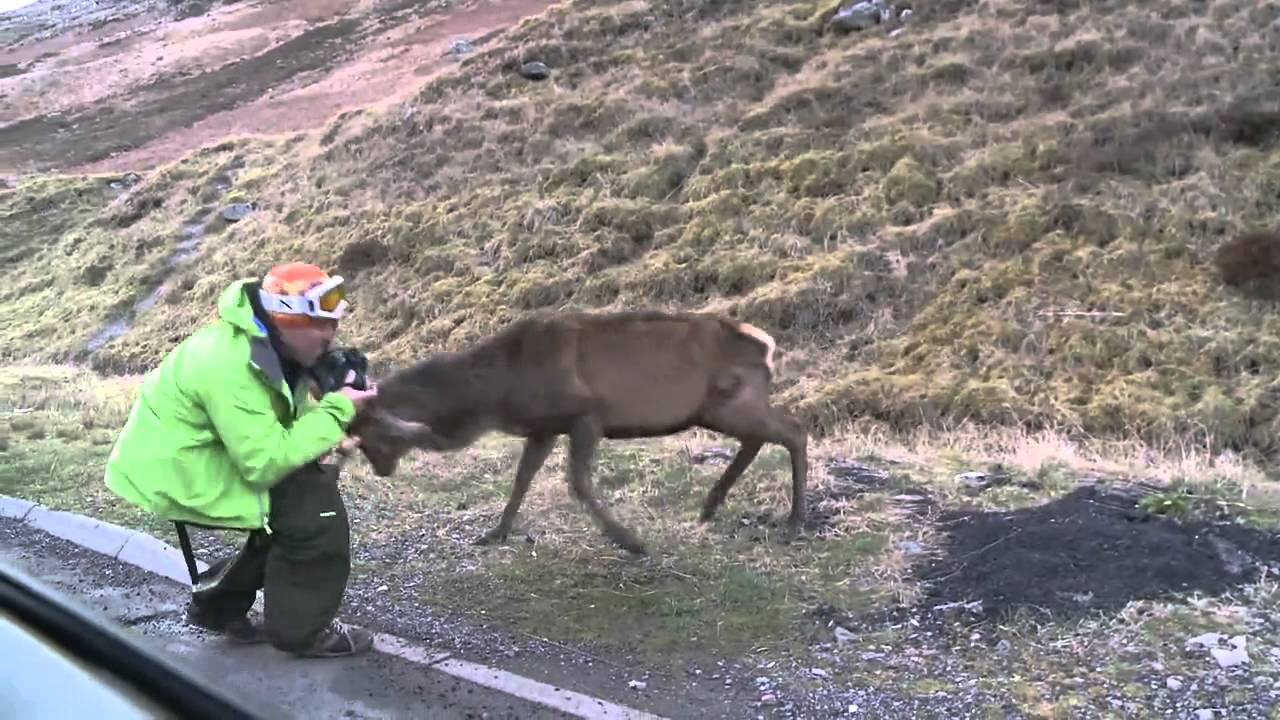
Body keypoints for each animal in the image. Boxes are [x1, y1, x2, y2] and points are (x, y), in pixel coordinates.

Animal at [346, 309, 808, 556]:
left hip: (731, 402)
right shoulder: (544, 427)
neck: (493, 396)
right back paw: (712, 505)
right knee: (760, 438)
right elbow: (521, 479)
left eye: (366, 435)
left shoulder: (584, 414)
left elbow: (578, 483)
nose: (381, 469)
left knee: (794, 431)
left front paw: (631, 541)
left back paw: (793, 521)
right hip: (717, 409)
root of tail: (766, 346)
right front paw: (495, 533)